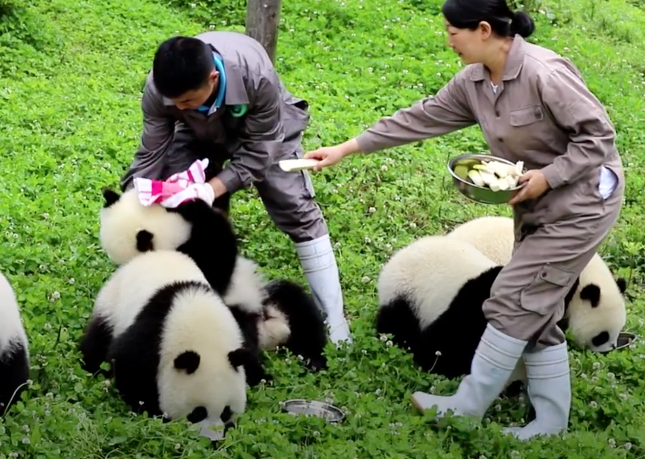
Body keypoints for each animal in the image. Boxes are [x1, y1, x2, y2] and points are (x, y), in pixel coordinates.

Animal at [79, 249, 267, 437]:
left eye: (226, 412)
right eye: (198, 413)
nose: (212, 440)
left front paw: (262, 378)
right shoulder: (155, 335)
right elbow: (126, 363)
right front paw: (151, 408)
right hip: (112, 304)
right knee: (98, 340)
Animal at [98, 187, 329, 370]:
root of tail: (270, 331)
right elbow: (218, 255)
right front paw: (197, 205)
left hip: (267, 296)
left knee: (299, 307)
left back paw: (314, 358)